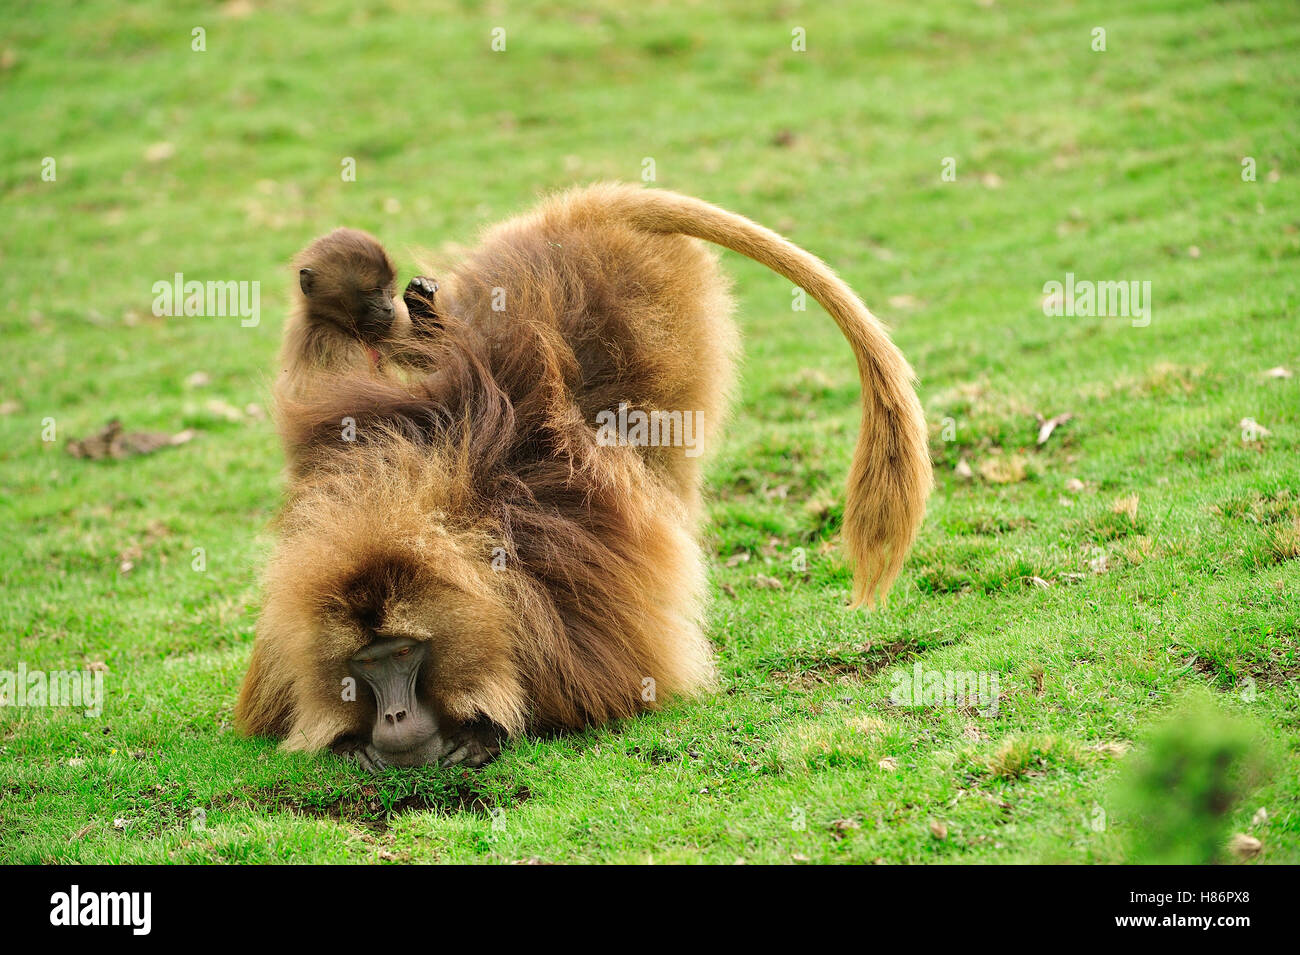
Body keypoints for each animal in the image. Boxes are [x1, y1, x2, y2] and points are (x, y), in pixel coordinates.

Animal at [235, 183, 931, 771]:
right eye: (366, 663)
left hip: (648, 317)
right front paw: (353, 742)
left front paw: (482, 733)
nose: (396, 718)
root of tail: (579, 210)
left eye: (404, 653)